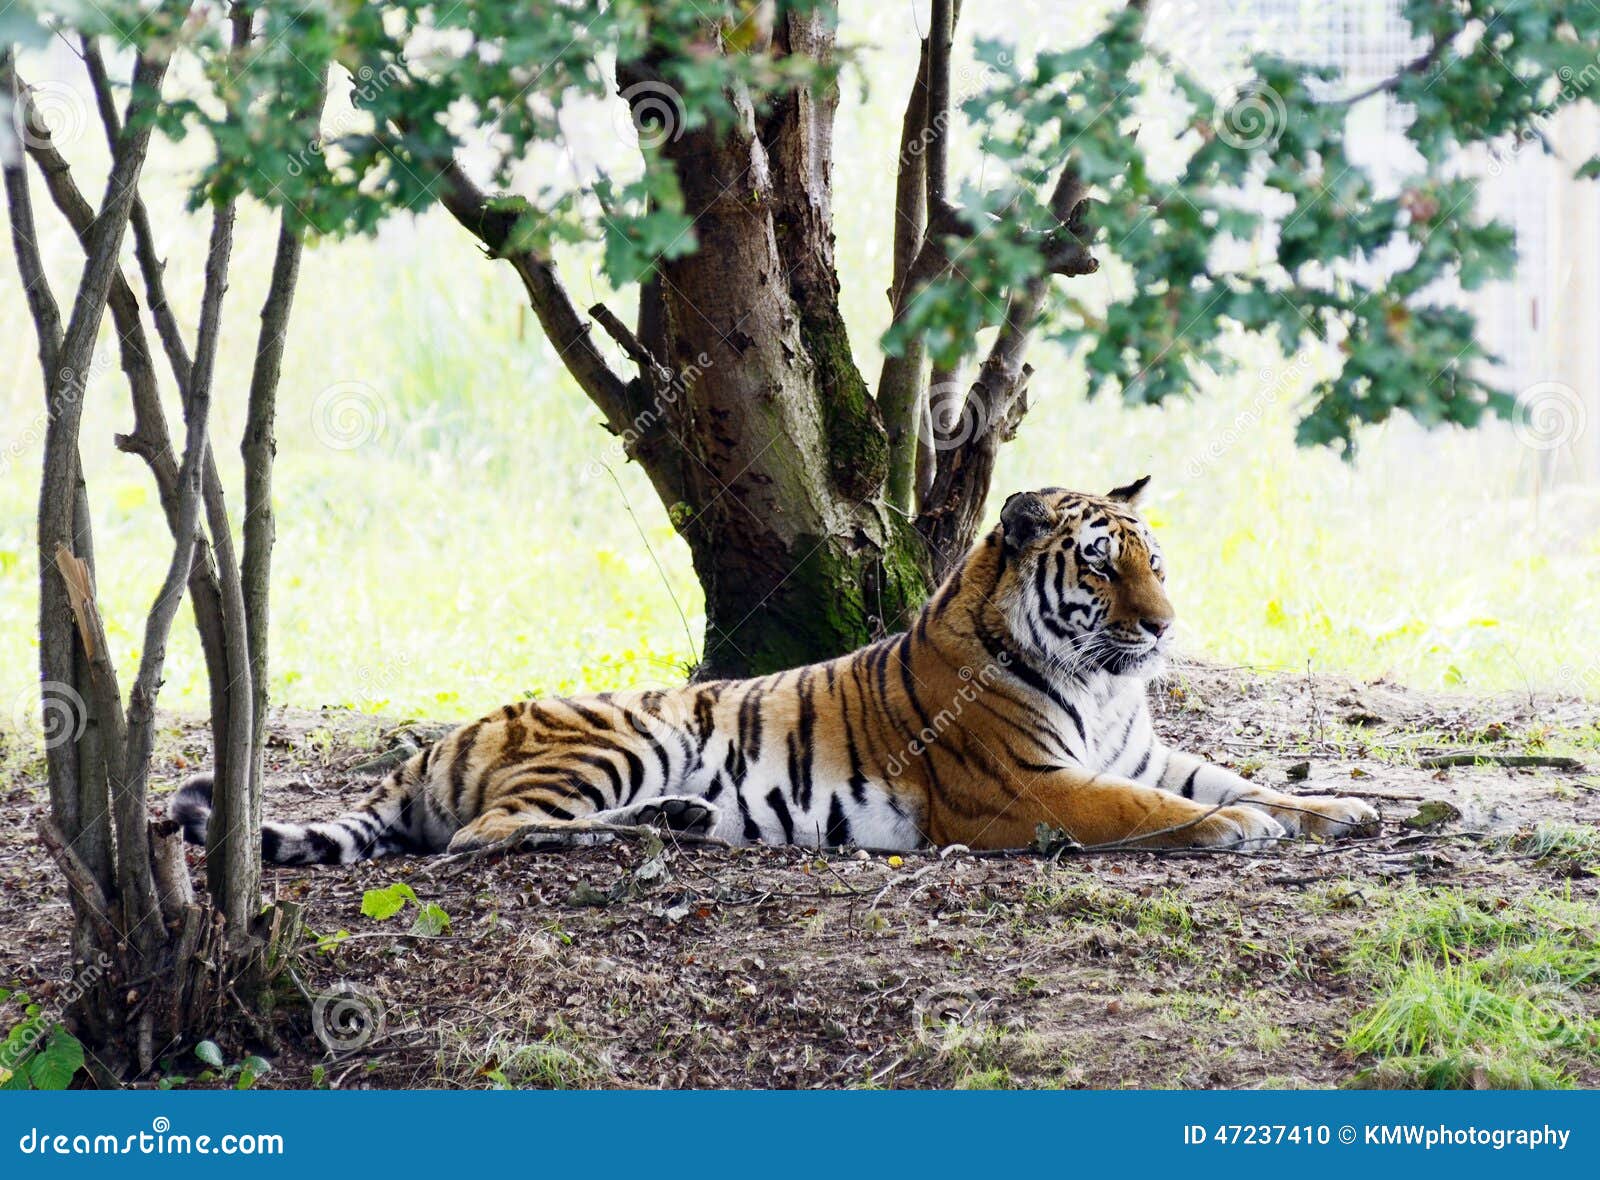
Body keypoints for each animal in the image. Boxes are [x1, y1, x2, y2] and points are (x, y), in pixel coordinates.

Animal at [170, 478, 1378, 863]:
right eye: (1101, 566)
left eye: (1154, 565)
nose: (1164, 629)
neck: (1099, 681)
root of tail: (434, 744)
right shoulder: (1024, 787)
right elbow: (1148, 809)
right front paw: (1237, 831)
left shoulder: (1143, 747)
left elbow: (1239, 777)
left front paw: (1356, 806)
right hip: (620, 737)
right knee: (487, 836)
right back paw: (642, 833)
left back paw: (684, 822)